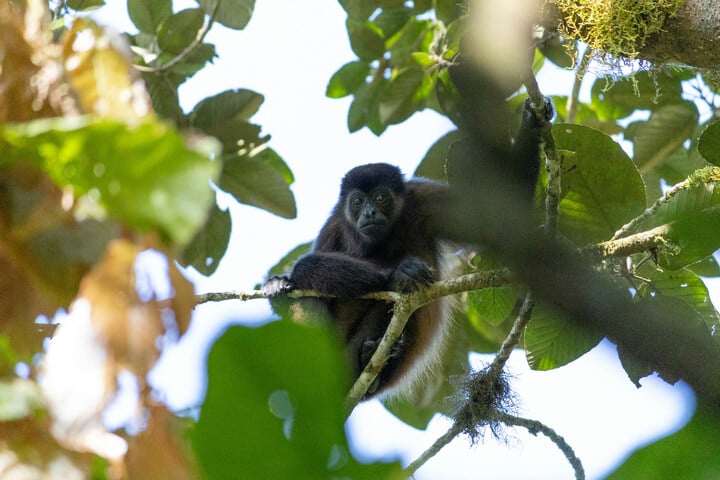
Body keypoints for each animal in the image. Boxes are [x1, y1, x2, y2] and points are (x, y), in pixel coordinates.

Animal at [263, 97, 553, 402]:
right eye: (357, 201)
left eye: (380, 197)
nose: (369, 212)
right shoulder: (334, 227)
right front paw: (395, 275)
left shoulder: (424, 201)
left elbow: (493, 221)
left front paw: (531, 121)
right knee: (310, 296)